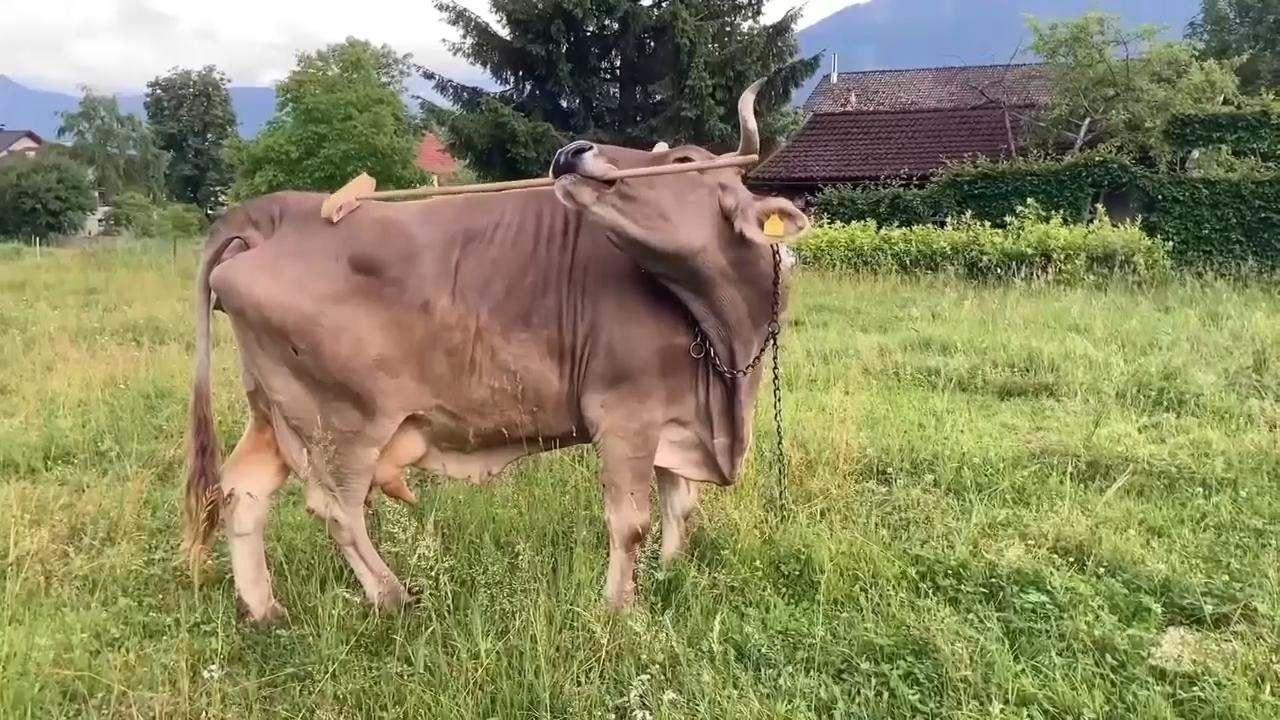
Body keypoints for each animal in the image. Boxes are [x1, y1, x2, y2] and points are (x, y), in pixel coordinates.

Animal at [181, 78, 811, 625]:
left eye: (682, 161)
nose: (573, 151)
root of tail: (276, 212)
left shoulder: (675, 417)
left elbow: (681, 506)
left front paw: (671, 575)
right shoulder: (623, 414)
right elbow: (630, 522)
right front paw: (620, 610)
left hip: (274, 411)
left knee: (243, 490)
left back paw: (266, 609)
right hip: (342, 421)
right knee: (336, 510)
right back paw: (394, 598)